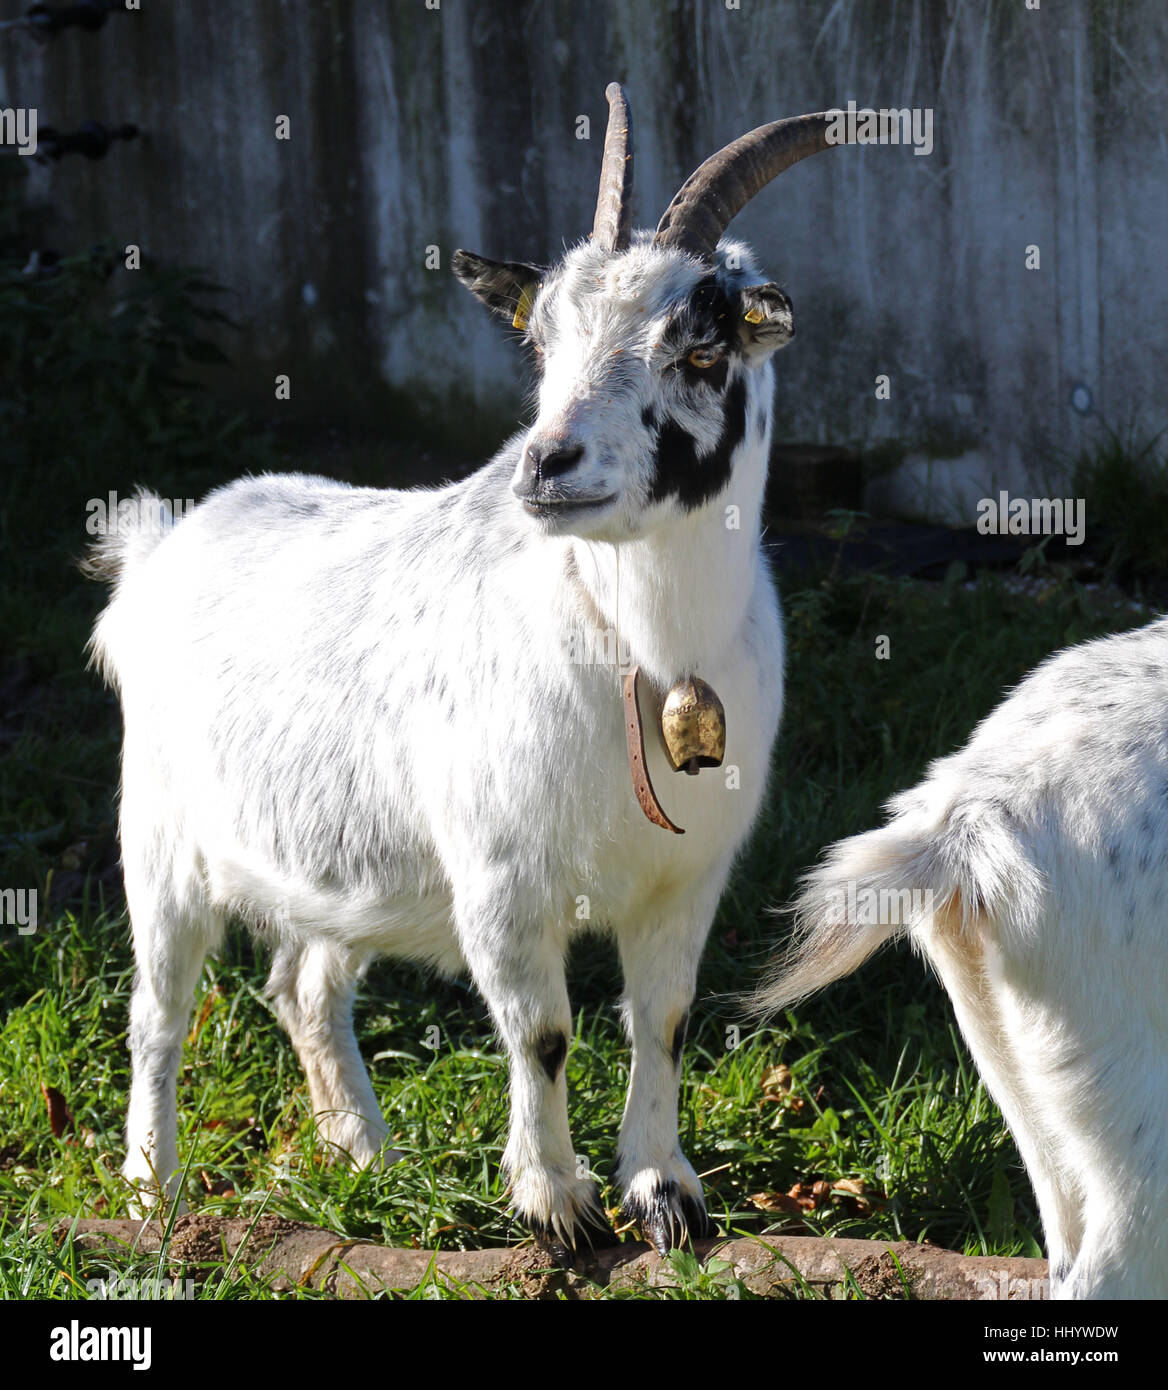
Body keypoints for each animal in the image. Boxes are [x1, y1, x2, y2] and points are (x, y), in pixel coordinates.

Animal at [88, 85, 866, 1257]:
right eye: (540, 338)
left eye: (702, 347)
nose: (546, 464)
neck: (641, 650)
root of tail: (162, 543)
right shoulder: (502, 877)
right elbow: (542, 1032)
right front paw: (557, 1206)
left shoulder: (687, 877)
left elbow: (664, 1020)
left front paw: (666, 1194)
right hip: (162, 832)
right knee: (159, 1012)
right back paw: (151, 1190)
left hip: (340, 862)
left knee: (302, 985)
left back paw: (365, 1154)